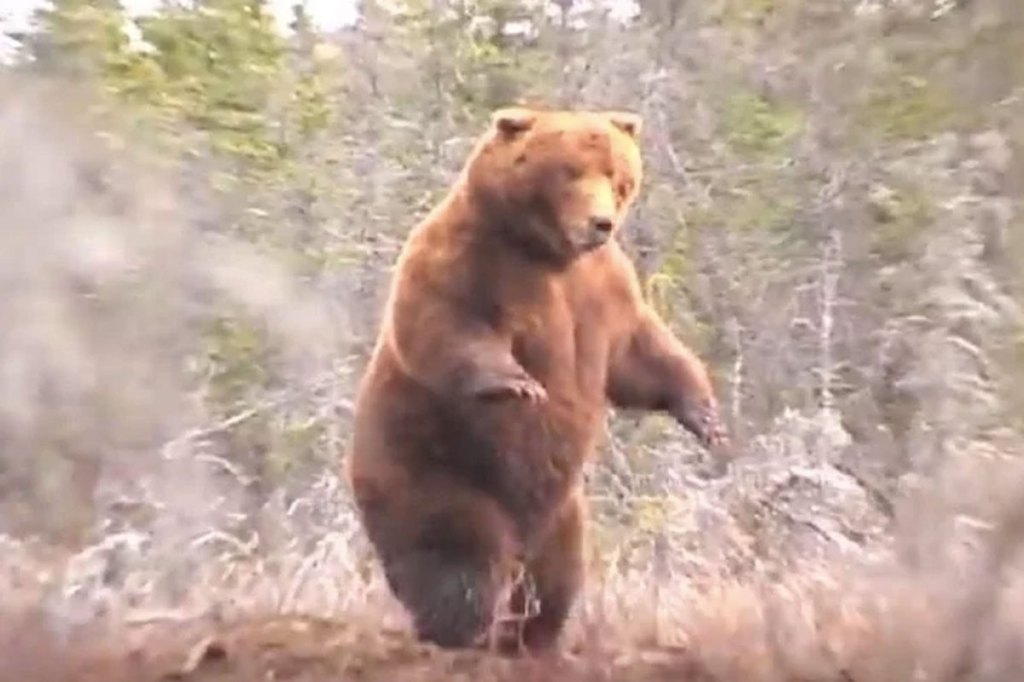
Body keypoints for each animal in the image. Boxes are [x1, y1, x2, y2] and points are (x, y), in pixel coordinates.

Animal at [344, 106, 728, 655]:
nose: (601, 223)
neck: (548, 253)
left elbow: (641, 351)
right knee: (462, 555)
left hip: (562, 512)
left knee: (554, 578)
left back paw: (531, 635)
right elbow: (445, 323)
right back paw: (463, 631)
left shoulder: (602, 289)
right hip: (432, 471)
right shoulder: (471, 260)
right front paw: (517, 383)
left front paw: (705, 416)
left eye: (616, 175)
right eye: (570, 172)